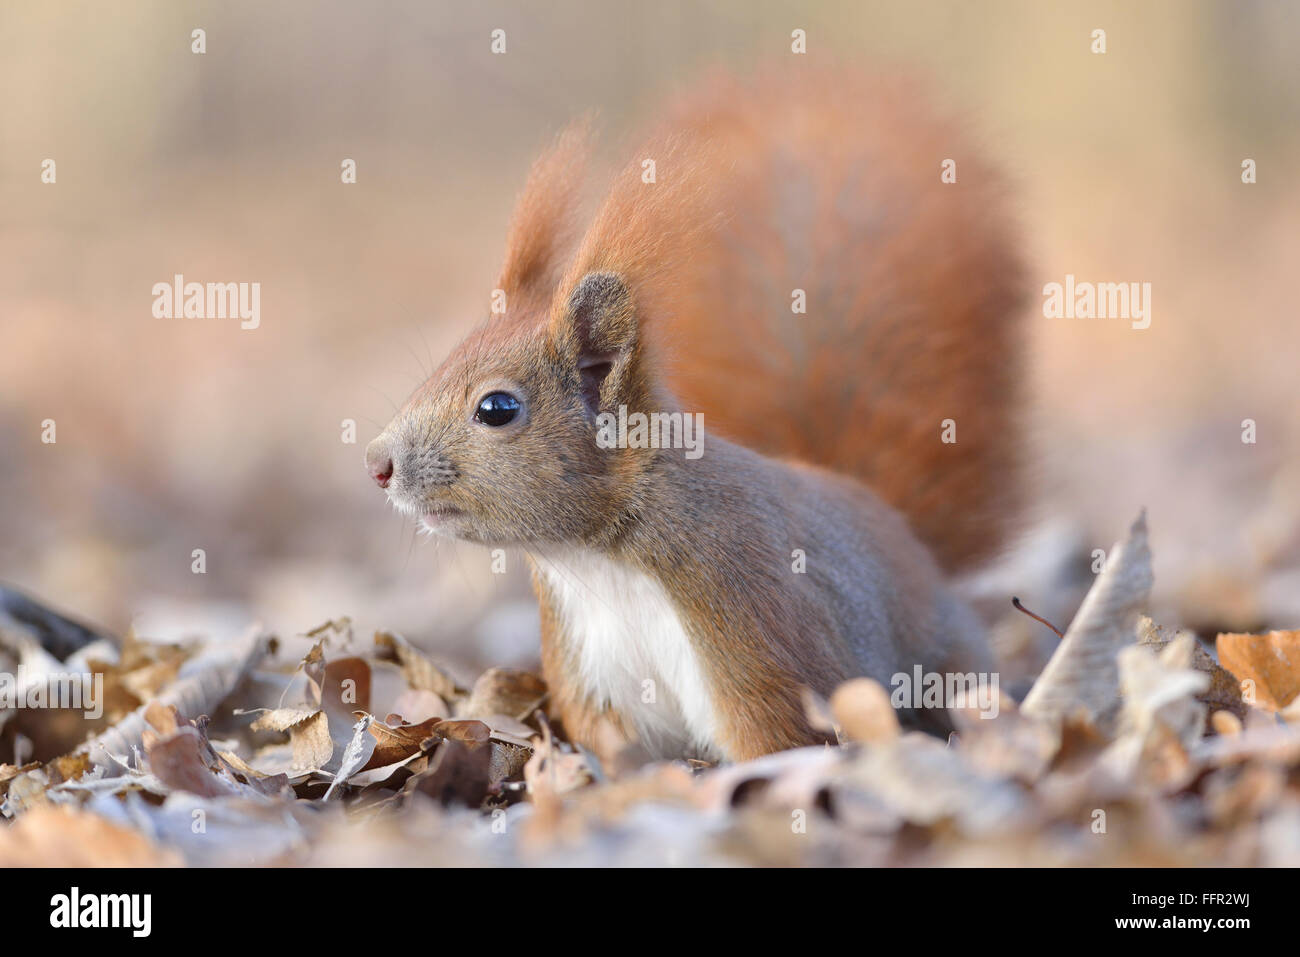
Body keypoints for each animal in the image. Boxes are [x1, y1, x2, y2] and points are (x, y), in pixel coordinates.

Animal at [365, 70, 1025, 762]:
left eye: (497, 408)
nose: (377, 464)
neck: (598, 559)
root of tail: (909, 541)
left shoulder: (755, 637)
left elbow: (778, 743)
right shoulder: (595, 681)